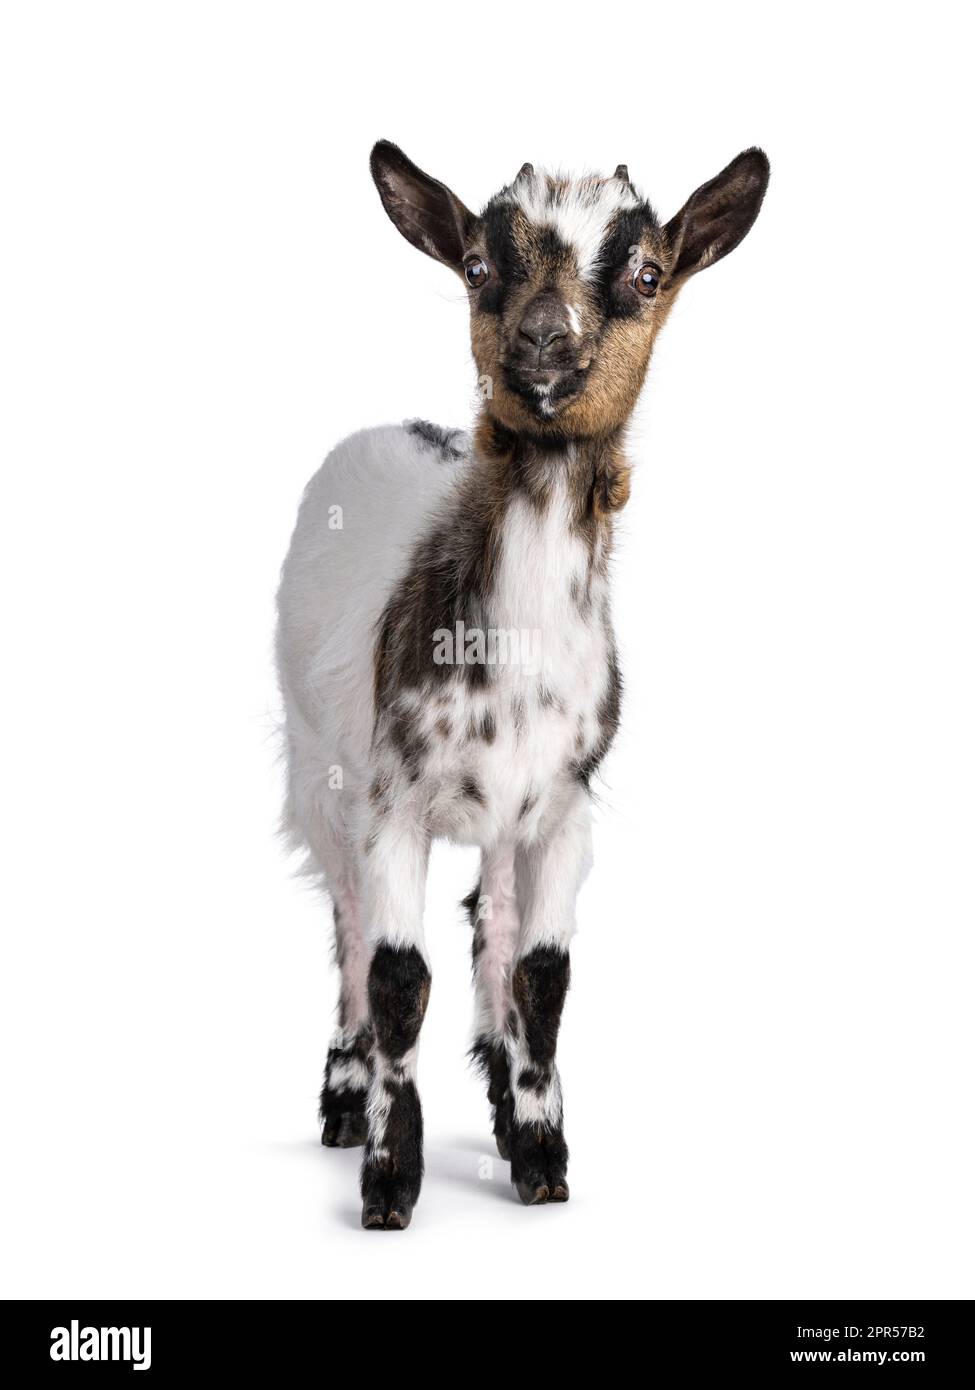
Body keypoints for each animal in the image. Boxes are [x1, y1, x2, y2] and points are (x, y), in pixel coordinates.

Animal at [276, 141, 769, 1229]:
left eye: (647, 274)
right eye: (475, 266)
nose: (543, 339)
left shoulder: (563, 803)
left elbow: (541, 974)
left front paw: (542, 1152)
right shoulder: (393, 799)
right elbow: (395, 974)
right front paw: (389, 1177)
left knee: (492, 928)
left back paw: (503, 1102)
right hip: (315, 764)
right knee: (344, 922)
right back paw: (342, 1094)